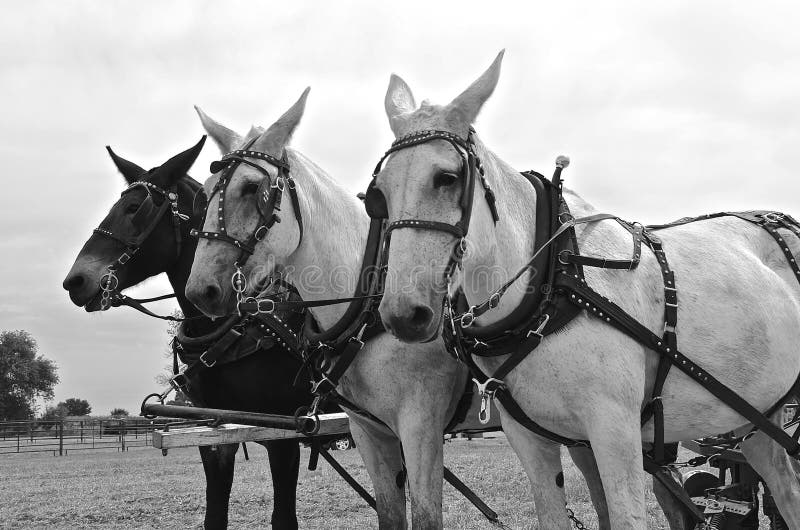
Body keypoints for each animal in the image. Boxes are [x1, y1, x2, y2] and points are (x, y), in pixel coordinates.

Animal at [62, 139, 315, 529]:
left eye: (134, 208)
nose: (75, 281)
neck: (237, 325)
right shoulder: (216, 432)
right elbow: (215, 515)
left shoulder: (285, 434)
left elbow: (284, 518)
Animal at [369, 50, 800, 528]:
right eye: (378, 195)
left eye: (445, 177)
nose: (404, 315)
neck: (551, 287)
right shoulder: (531, 438)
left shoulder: (615, 431)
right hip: (758, 415)